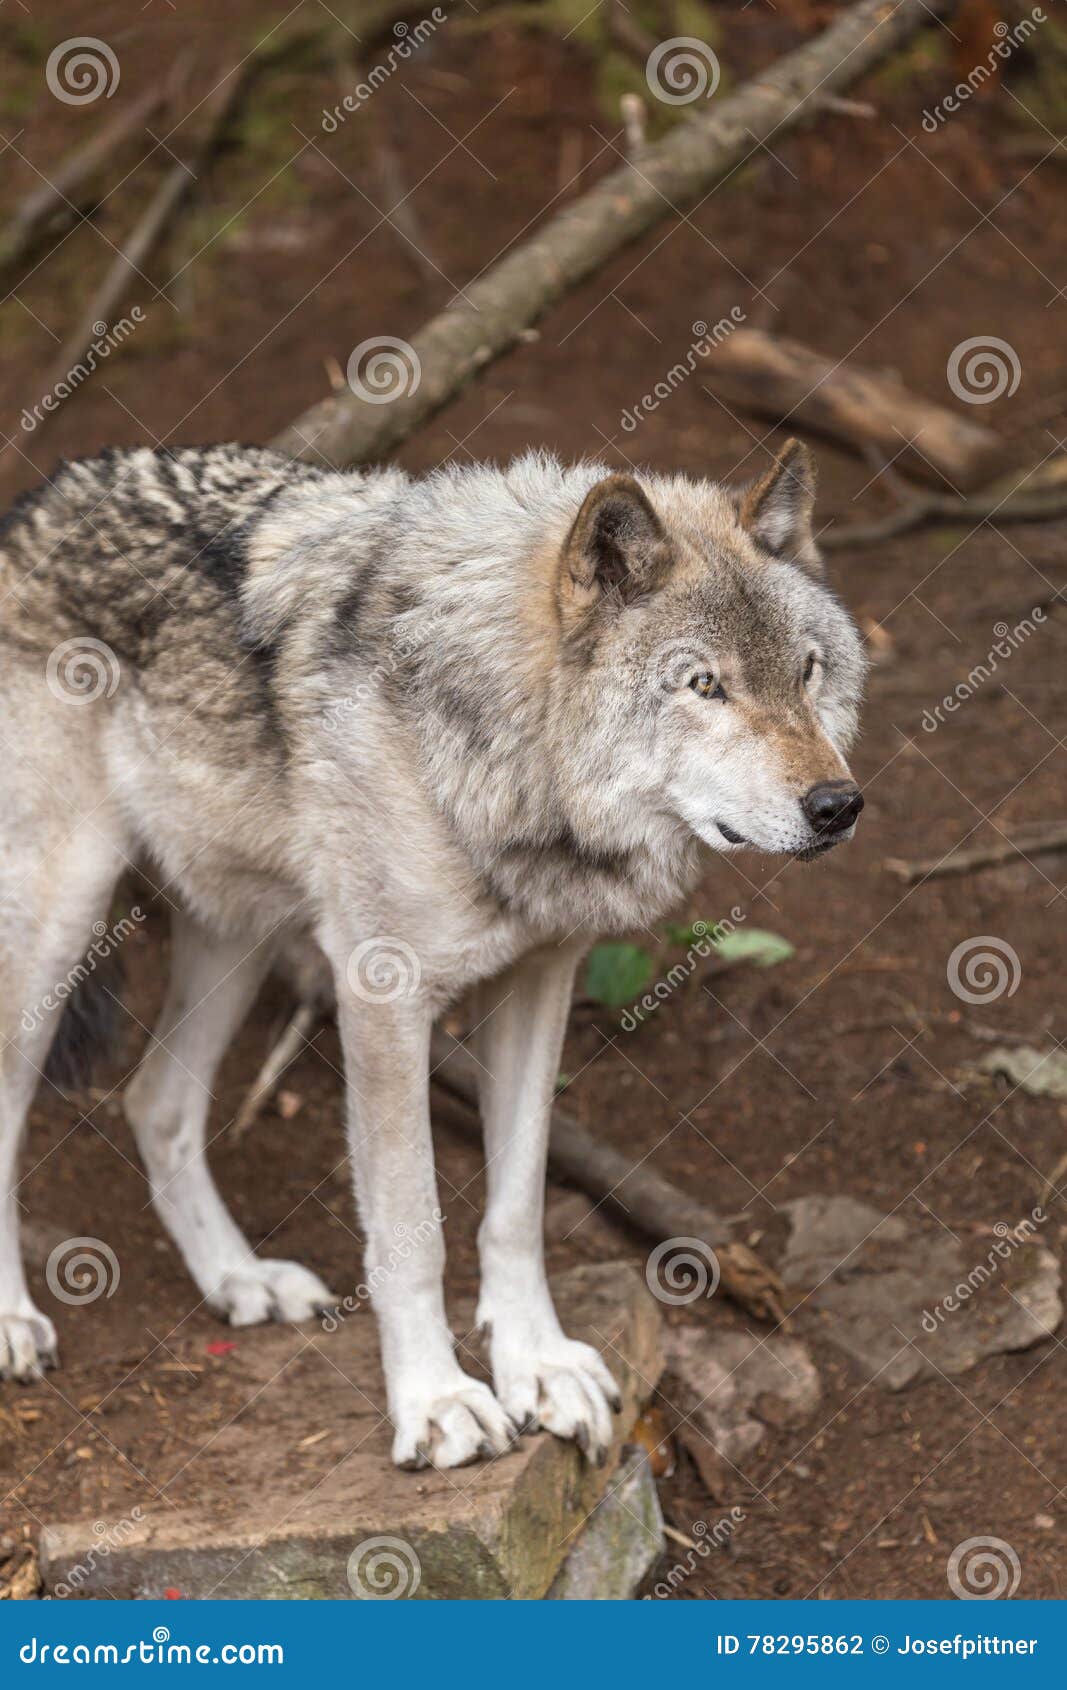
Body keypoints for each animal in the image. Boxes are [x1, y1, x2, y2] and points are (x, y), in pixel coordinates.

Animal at [0, 438, 865, 1469]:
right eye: (705, 685)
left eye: (806, 672)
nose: (837, 807)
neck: (498, 746)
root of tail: (41, 496)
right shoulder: (381, 996)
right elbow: (413, 1231)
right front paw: (439, 1401)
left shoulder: (540, 980)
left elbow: (515, 1208)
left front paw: (537, 1367)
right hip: (61, 919)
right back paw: (14, 1322)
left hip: (236, 931)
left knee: (155, 1102)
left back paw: (240, 1280)